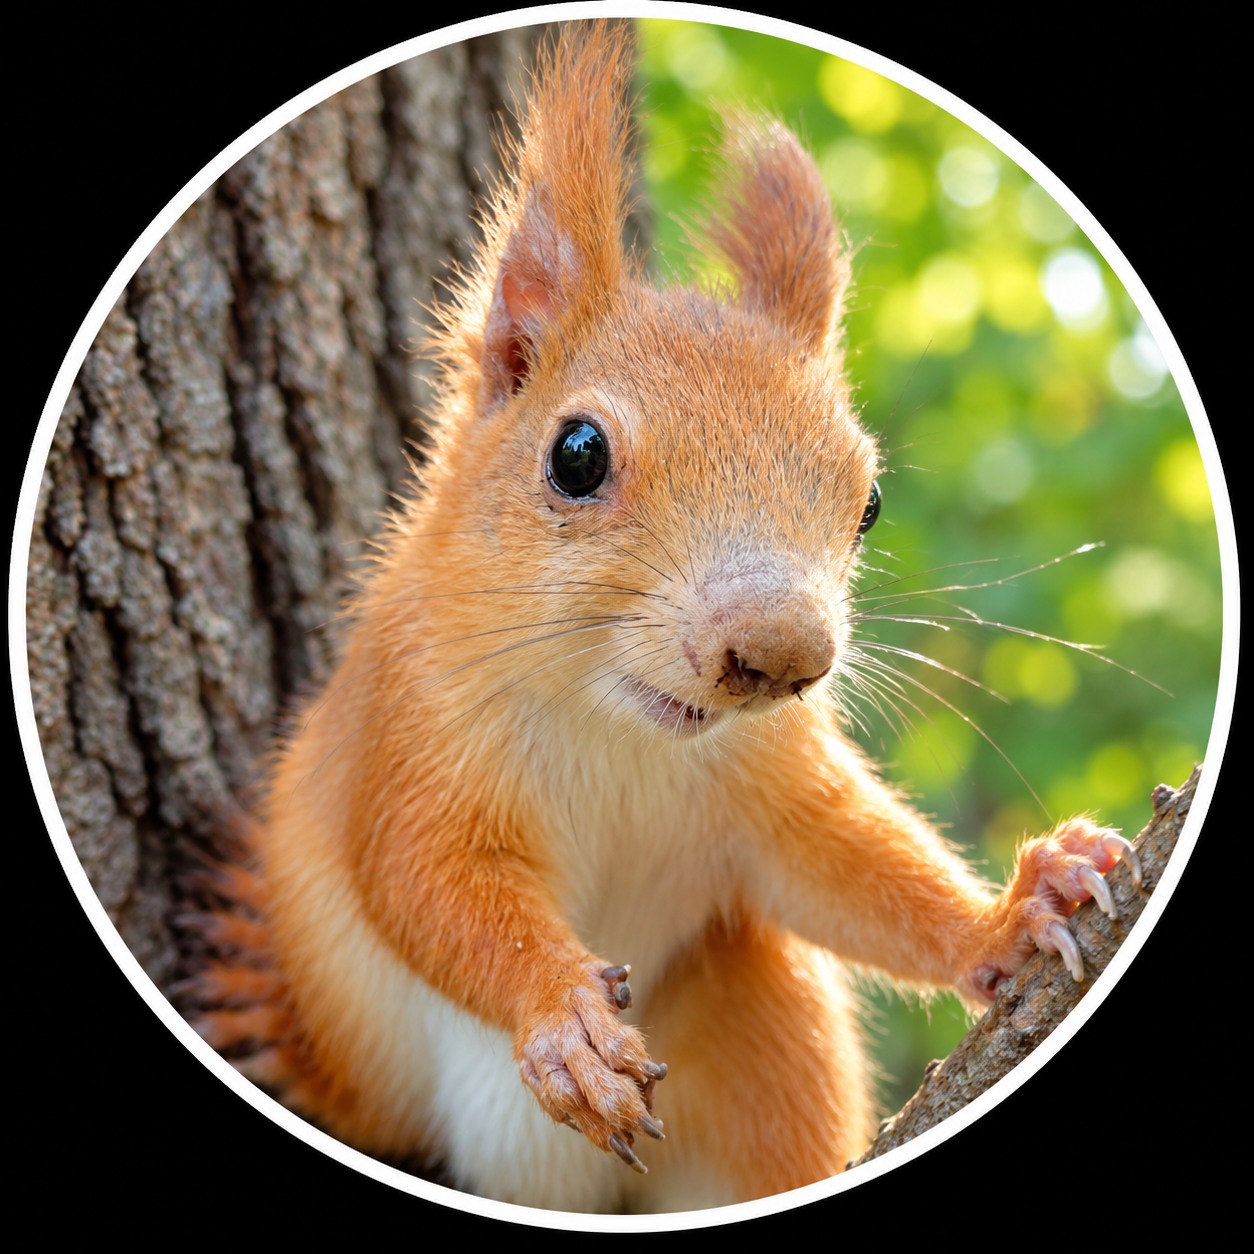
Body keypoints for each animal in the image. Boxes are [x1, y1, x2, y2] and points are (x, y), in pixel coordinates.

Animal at [184, 21, 1141, 1213]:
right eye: (577, 455)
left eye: (868, 498)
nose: (782, 657)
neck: (622, 734)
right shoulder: (404, 732)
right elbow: (427, 883)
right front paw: (564, 1022)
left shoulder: (772, 785)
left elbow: (848, 867)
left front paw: (1015, 913)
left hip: (762, 1038)